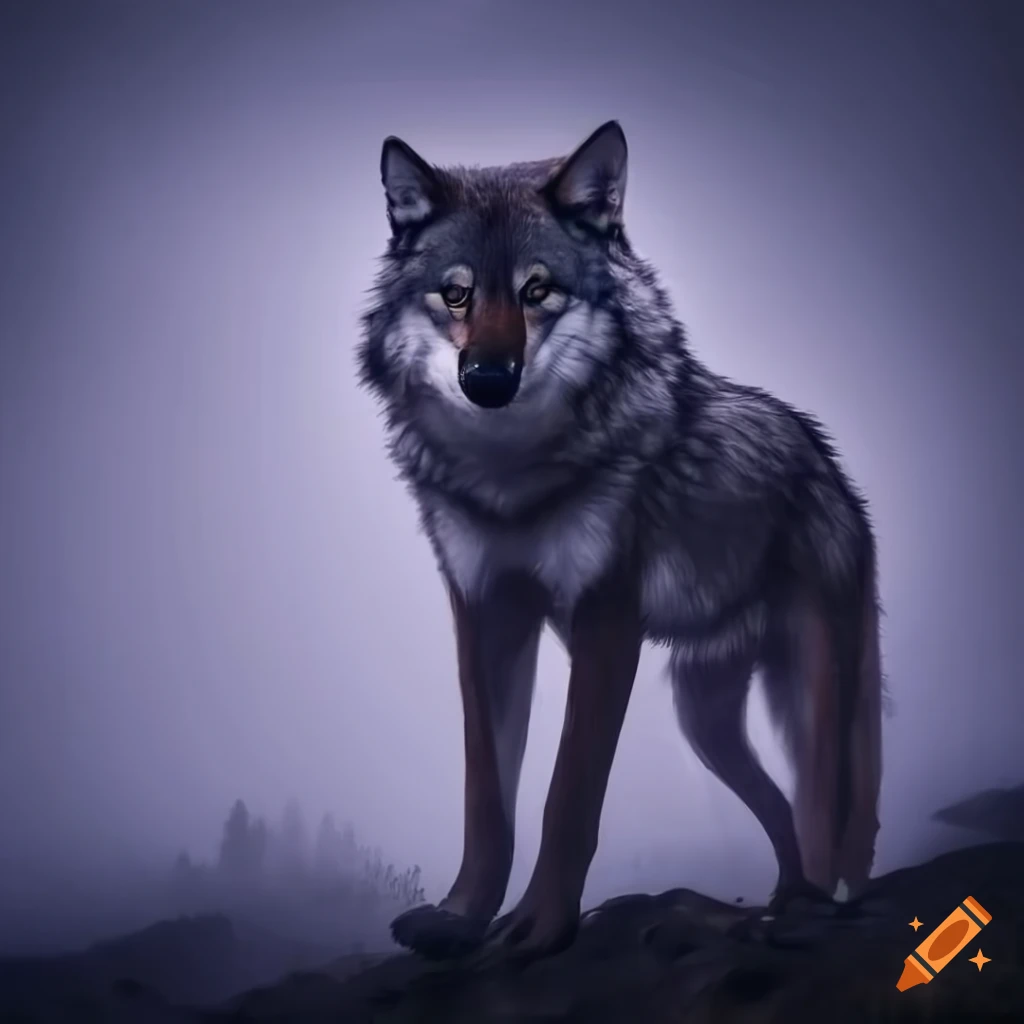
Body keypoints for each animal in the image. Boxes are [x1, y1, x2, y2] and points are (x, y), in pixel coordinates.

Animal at [357, 121, 883, 961]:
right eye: (456, 292)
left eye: (538, 290)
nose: (488, 379)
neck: (511, 472)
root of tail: (826, 462)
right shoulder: (485, 613)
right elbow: (486, 794)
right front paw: (462, 918)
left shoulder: (607, 624)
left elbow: (567, 794)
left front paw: (537, 928)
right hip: (705, 717)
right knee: (778, 808)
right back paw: (783, 902)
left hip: (812, 691)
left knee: (823, 806)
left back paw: (815, 909)